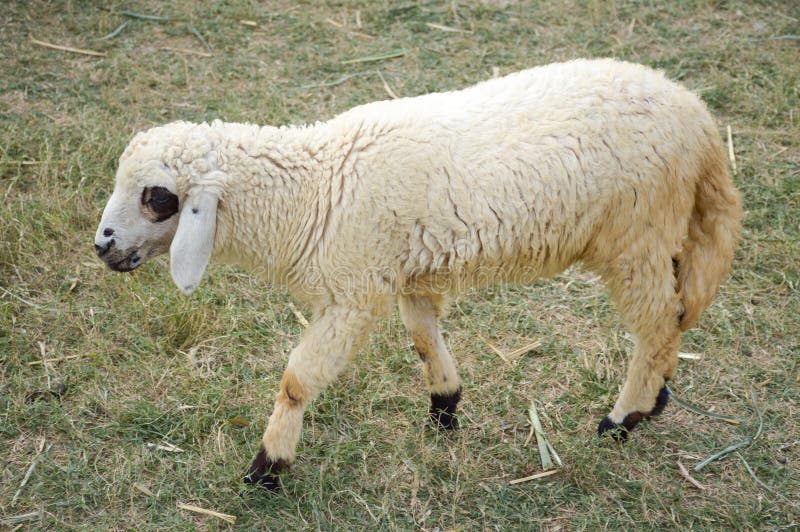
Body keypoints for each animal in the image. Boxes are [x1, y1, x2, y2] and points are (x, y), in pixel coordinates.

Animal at [94, 58, 743, 489]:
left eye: (158, 198)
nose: (102, 246)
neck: (314, 191)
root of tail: (699, 121)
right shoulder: (408, 271)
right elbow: (424, 339)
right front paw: (445, 408)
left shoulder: (352, 294)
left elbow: (297, 381)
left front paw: (267, 467)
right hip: (658, 233)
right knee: (674, 315)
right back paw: (656, 397)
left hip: (637, 233)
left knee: (657, 323)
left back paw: (624, 417)